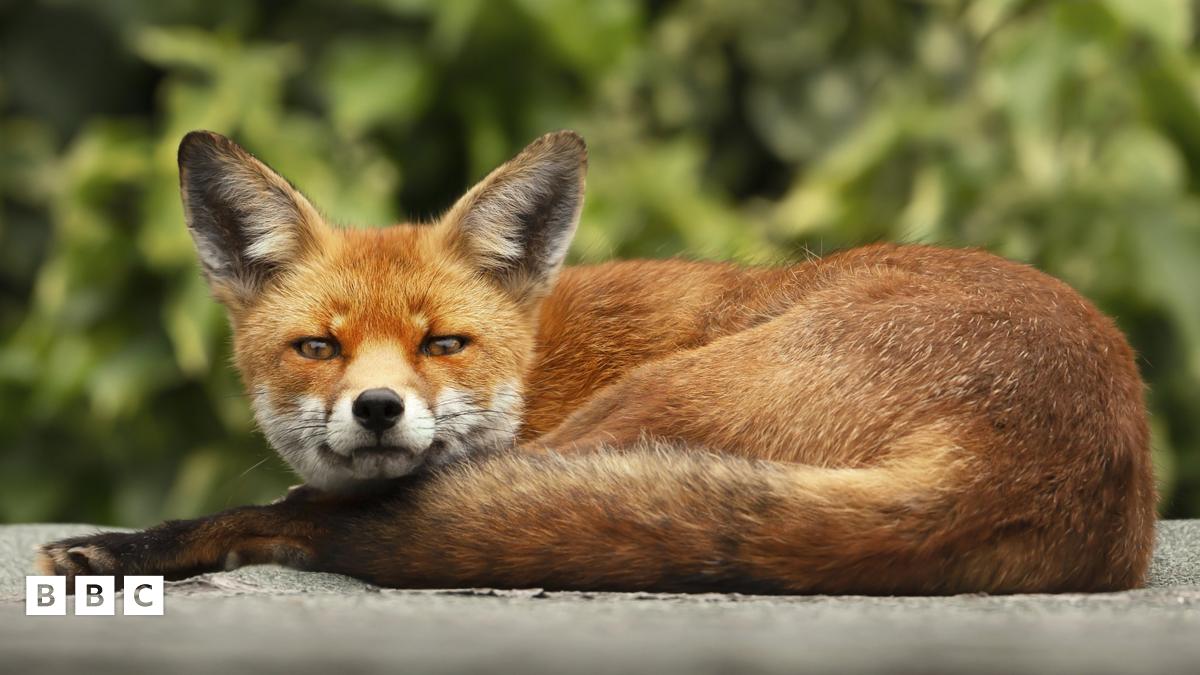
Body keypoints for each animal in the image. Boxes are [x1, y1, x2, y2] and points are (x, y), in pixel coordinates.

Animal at [37, 130, 1156, 594]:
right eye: (319, 348)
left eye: (444, 343)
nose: (380, 408)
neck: (542, 366)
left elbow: (282, 509)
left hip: (648, 404)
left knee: (322, 521)